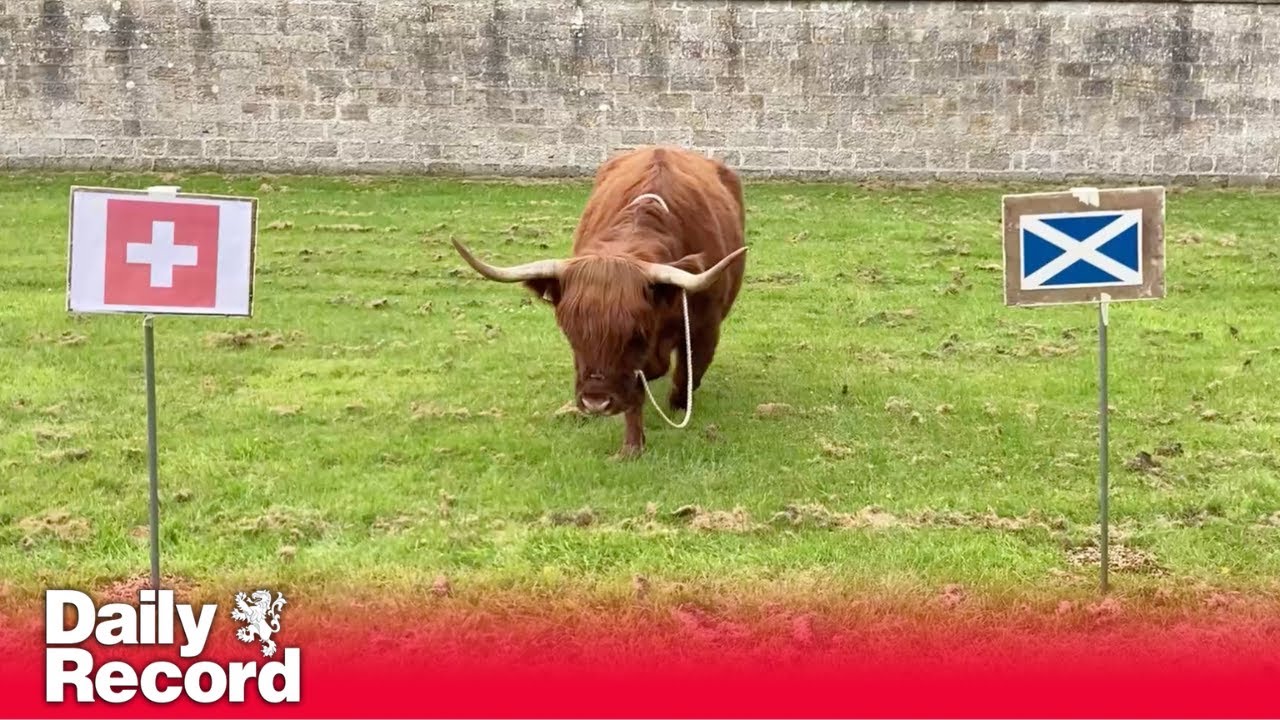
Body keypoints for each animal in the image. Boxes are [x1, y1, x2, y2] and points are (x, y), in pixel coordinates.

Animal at [450, 145, 748, 458]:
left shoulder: (704, 329)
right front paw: (631, 447)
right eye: (570, 333)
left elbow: (686, 379)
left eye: (635, 333)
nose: (596, 402)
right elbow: (636, 393)